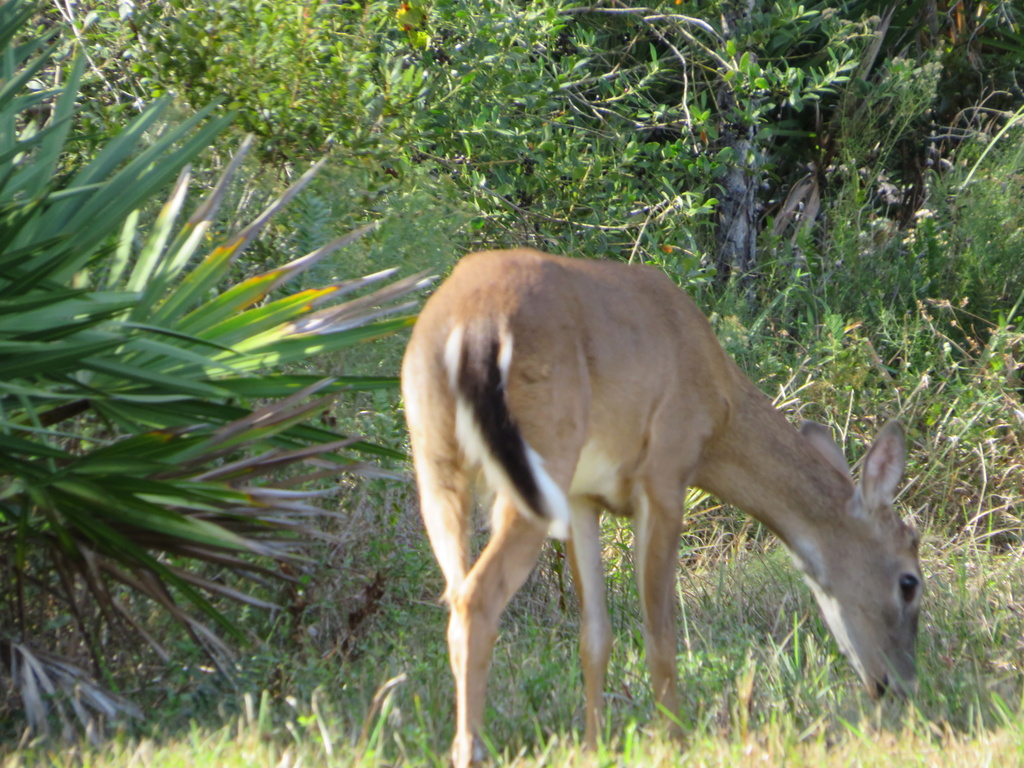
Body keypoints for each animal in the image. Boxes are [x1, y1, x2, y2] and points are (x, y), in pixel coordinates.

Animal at [401, 248, 921, 768]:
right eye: (909, 582)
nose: (899, 687)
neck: (720, 410)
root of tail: (472, 328)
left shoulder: (581, 497)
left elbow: (595, 636)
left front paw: (593, 747)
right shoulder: (665, 475)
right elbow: (660, 634)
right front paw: (675, 742)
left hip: (436, 464)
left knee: (456, 594)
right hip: (537, 456)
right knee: (478, 597)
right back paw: (471, 750)